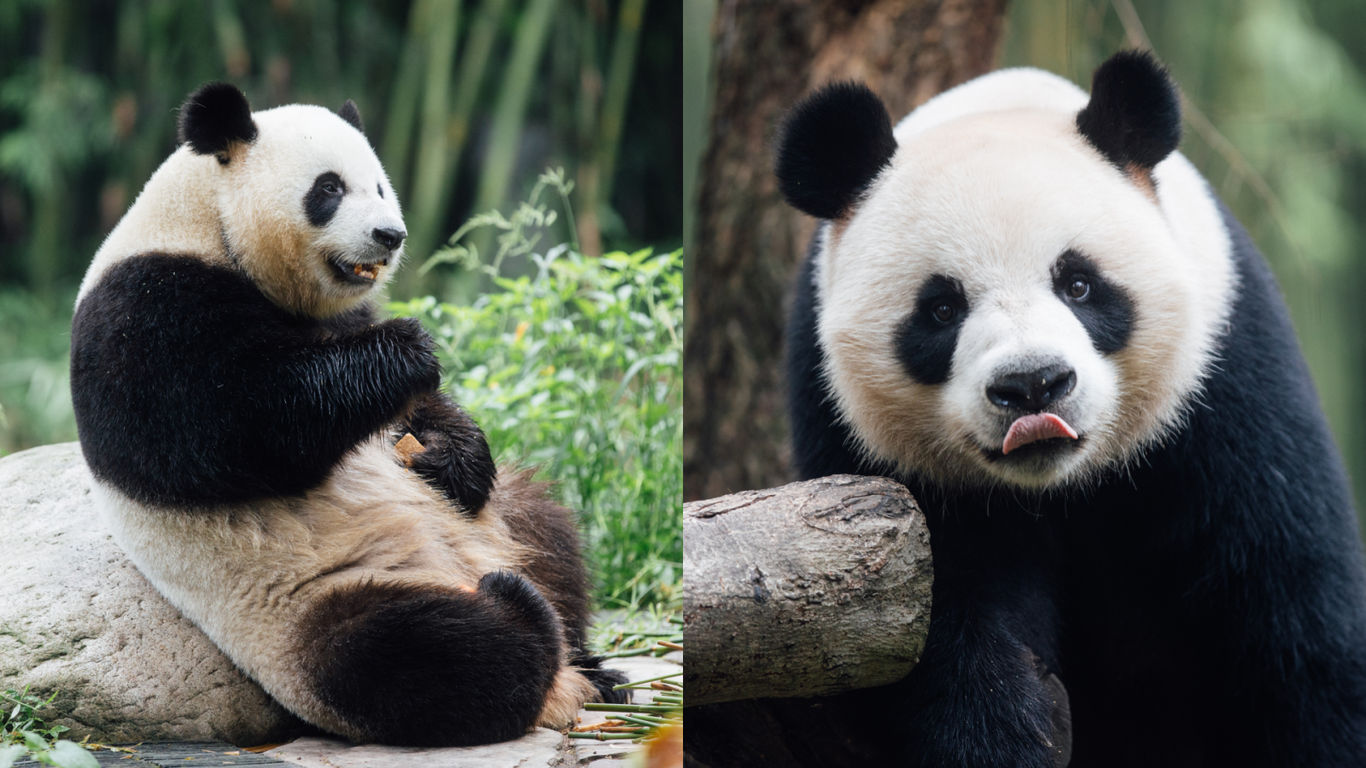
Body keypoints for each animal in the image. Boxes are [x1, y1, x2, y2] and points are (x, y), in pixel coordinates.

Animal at [68, 83, 623, 747]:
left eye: (380, 186)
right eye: (328, 189)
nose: (391, 235)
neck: (209, 224)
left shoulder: (342, 312)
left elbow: (419, 416)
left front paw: (454, 455)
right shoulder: (144, 310)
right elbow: (234, 429)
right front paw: (408, 350)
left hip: (501, 524)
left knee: (550, 532)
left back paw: (595, 665)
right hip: (307, 608)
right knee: (416, 654)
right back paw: (519, 614)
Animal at [771, 51, 1366, 767]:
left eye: (1079, 283)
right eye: (941, 309)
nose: (1033, 385)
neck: (1060, 485)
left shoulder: (1230, 387)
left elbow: (1292, 623)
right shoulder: (869, 449)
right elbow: (942, 622)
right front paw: (1006, 736)